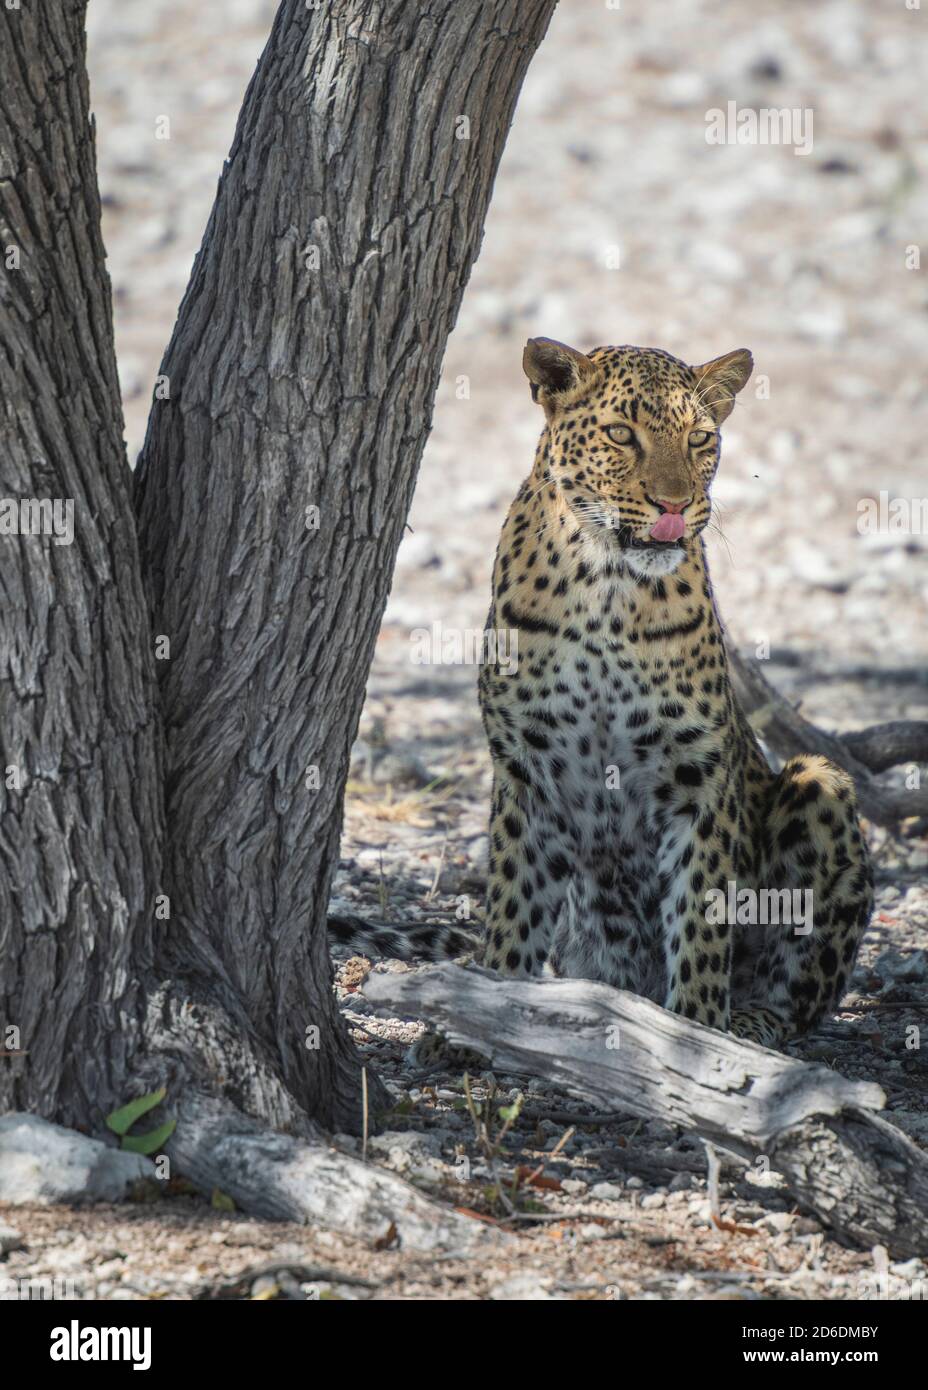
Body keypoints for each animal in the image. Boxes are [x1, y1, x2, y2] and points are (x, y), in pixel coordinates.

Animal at [474, 336, 873, 1048]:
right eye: (620, 435)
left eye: (700, 438)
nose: (674, 507)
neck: (605, 587)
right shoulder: (526, 771)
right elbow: (512, 908)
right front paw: (483, 1006)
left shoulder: (699, 778)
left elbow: (701, 923)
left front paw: (696, 1033)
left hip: (818, 780)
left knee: (800, 996)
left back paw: (745, 1026)